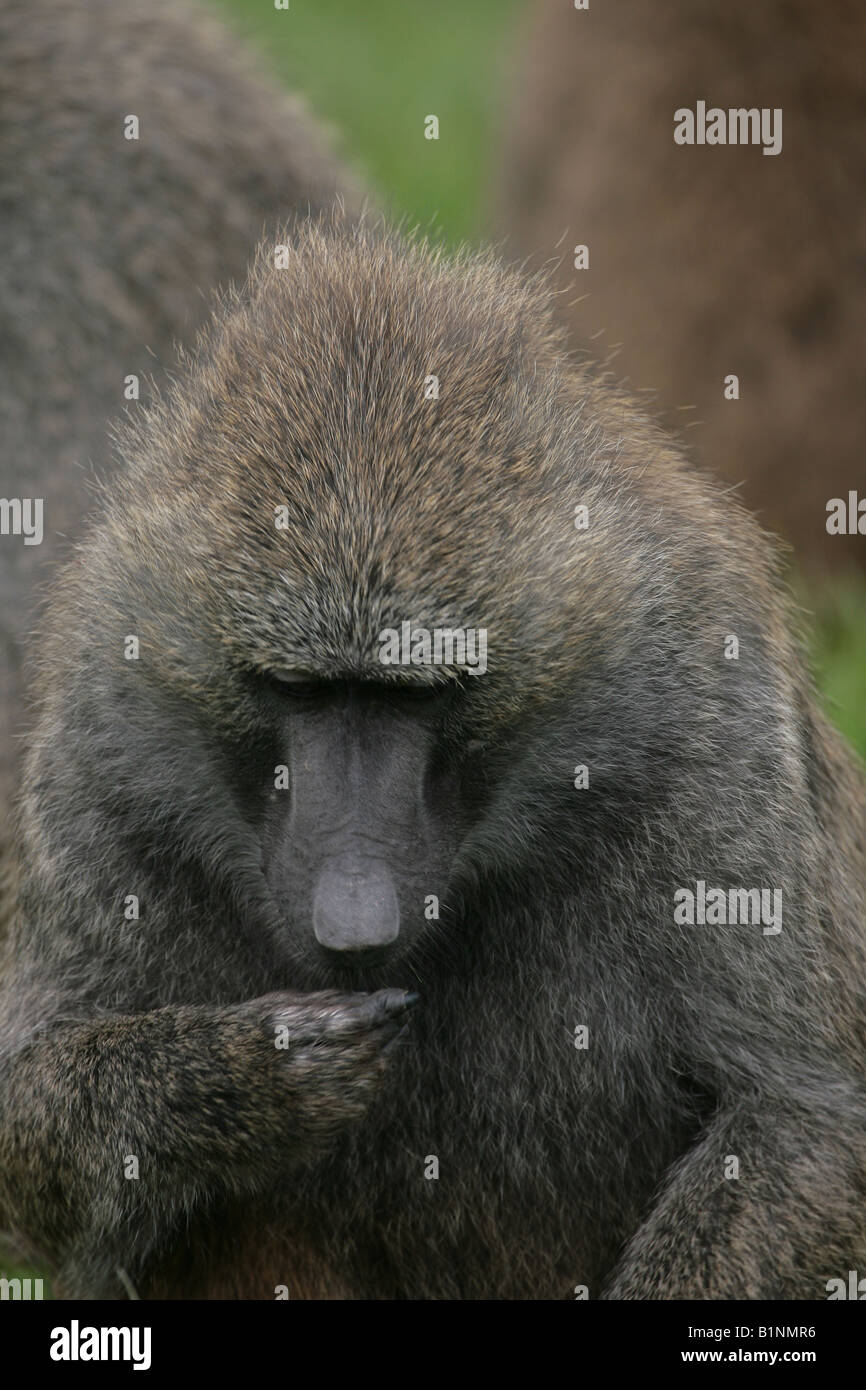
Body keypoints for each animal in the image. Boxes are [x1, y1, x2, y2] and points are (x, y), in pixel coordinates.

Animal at [1, 215, 865, 1300]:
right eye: (298, 688)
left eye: (417, 691)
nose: (353, 926)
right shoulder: (101, 741)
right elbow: (28, 1113)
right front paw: (253, 1068)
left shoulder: (711, 722)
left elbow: (800, 1117)